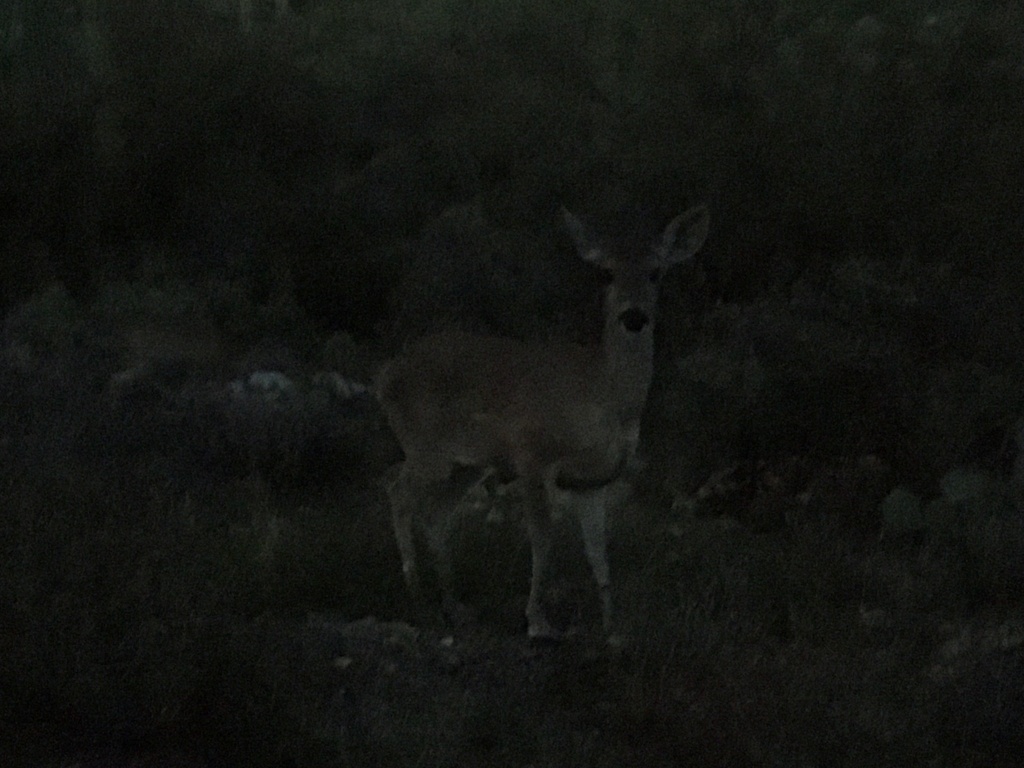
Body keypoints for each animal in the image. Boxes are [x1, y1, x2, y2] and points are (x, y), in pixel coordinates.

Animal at [375, 205, 710, 642]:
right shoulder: (531, 454)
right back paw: (420, 600)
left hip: (467, 462)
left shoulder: (595, 479)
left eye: (656, 272)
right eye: (605, 272)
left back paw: (455, 606)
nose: (634, 316)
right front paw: (538, 621)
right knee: (398, 491)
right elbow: (544, 538)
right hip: (425, 446)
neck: (602, 396)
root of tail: (385, 375)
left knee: (435, 512)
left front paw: (612, 628)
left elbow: (598, 553)